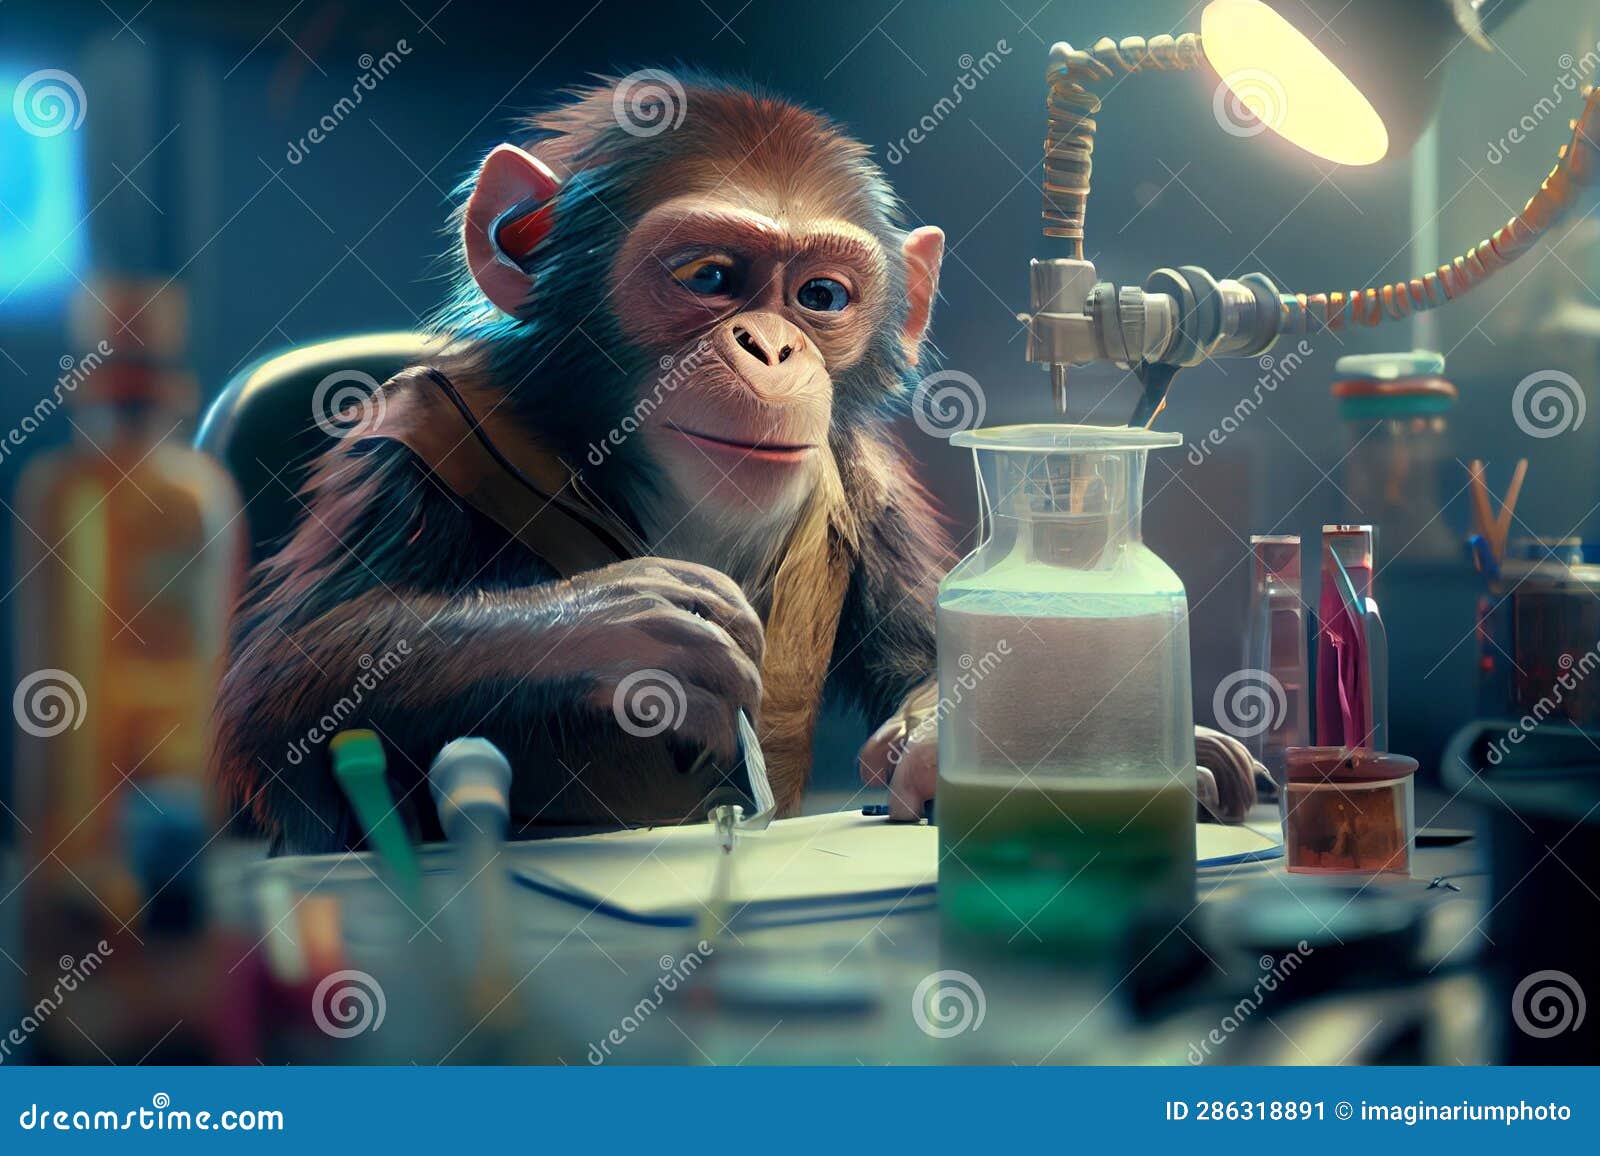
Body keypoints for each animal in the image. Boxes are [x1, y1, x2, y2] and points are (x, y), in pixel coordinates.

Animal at [211, 74, 951, 854]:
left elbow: (936, 646)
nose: (773, 347)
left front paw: (930, 748)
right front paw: (621, 624)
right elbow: (281, 690)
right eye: (709, 278)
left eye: (820, 296)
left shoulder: (871, 485)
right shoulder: (406, 443)